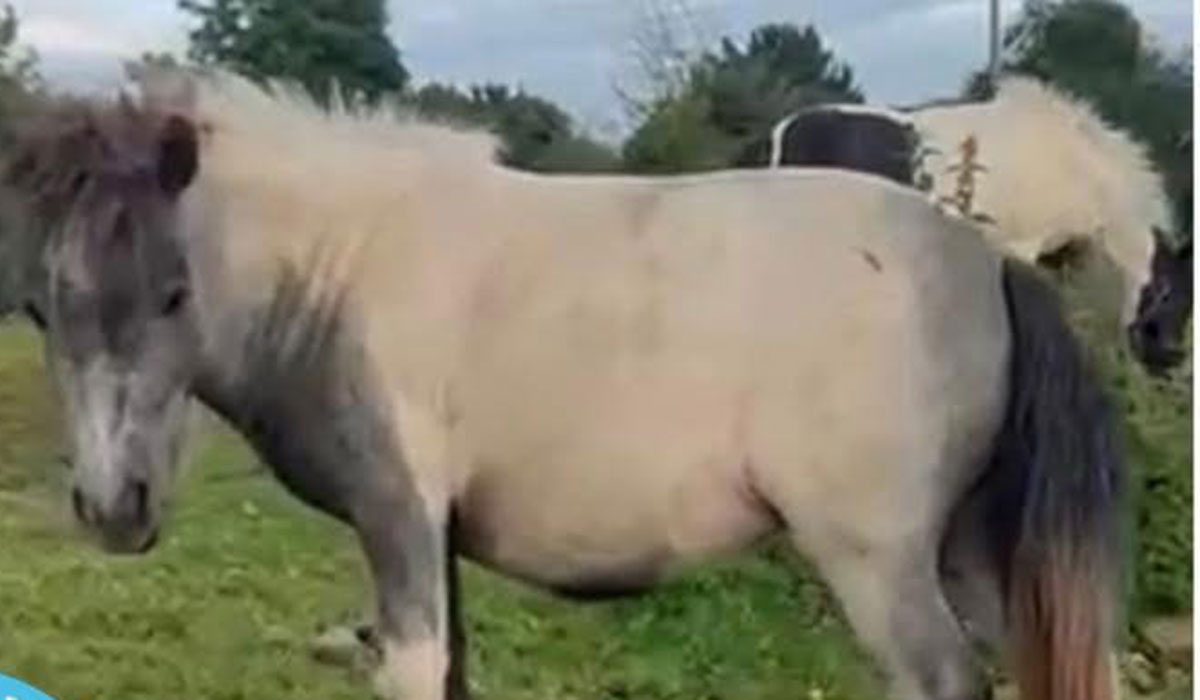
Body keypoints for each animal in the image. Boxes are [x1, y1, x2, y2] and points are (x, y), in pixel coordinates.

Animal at [1, 69, 1125, 700]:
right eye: (42, 309)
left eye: (174, 293)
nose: (112, 508)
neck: (345, 266)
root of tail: (988, 261)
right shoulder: (436, 538)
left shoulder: (398, 521)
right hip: (971, 554)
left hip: (880, 565)